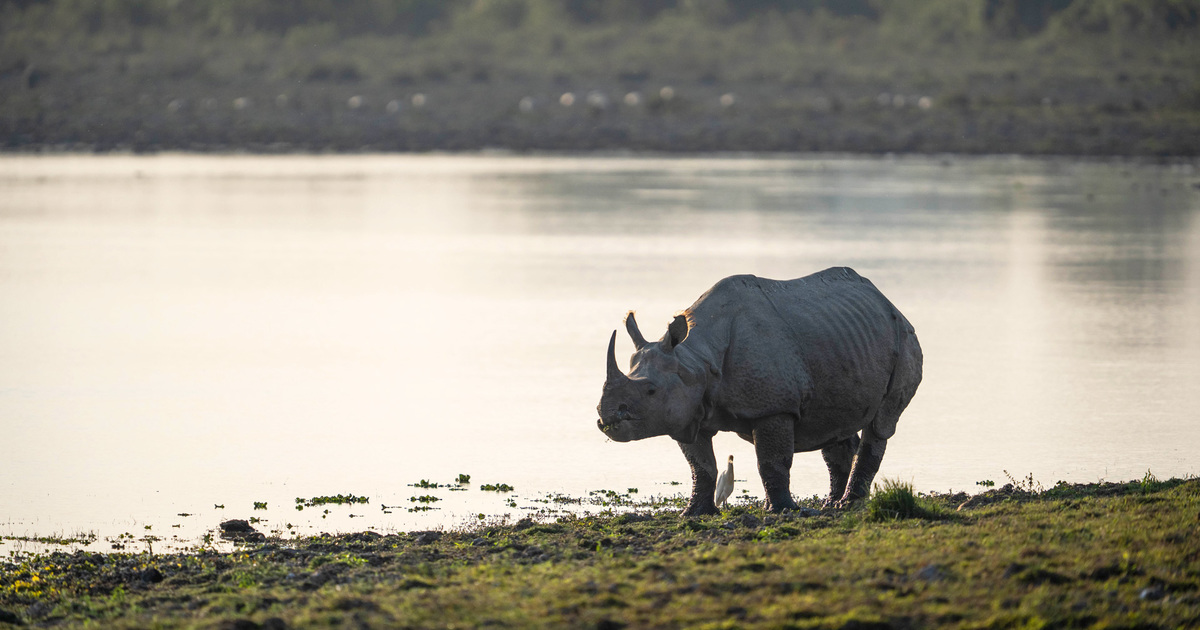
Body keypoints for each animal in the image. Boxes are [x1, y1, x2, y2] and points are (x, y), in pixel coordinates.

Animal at [596, 267, 922, 515]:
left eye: (650, 391)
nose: (606, 417)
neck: (696, 362)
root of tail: (886, 301)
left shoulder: (773, 407)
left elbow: (772, 461)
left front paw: (781, 511)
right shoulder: (688, 412)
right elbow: (701, 466)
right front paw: (694, 513)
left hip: (904, 338)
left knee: (880, 424)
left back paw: (847, 505)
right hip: (843, 337)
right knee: (832, 423)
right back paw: (831, 504)